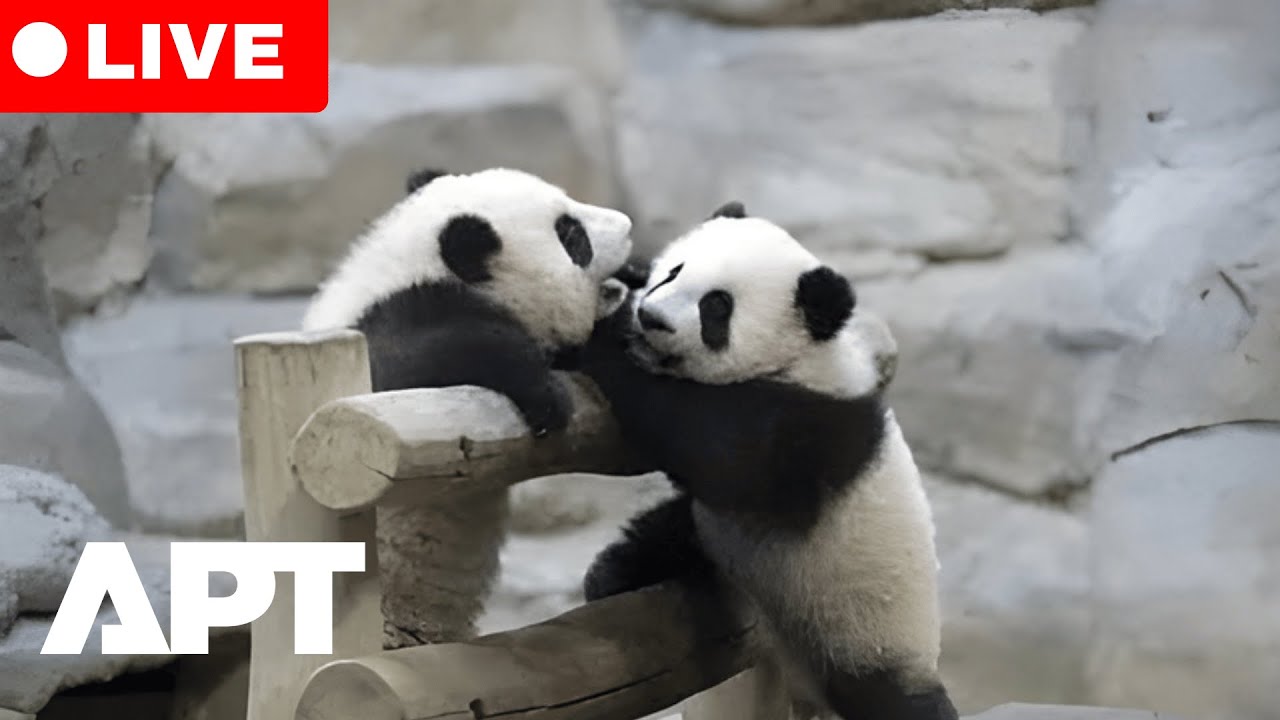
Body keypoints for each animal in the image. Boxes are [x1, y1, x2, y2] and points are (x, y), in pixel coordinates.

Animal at [576, 202, 958, 720]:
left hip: (870, 634)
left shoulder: (804, 432)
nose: (652, 316)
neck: (803, 357)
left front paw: (604, 328)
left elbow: (715, 449)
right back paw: (613, 573)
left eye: (717, 306)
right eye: (673, 271)